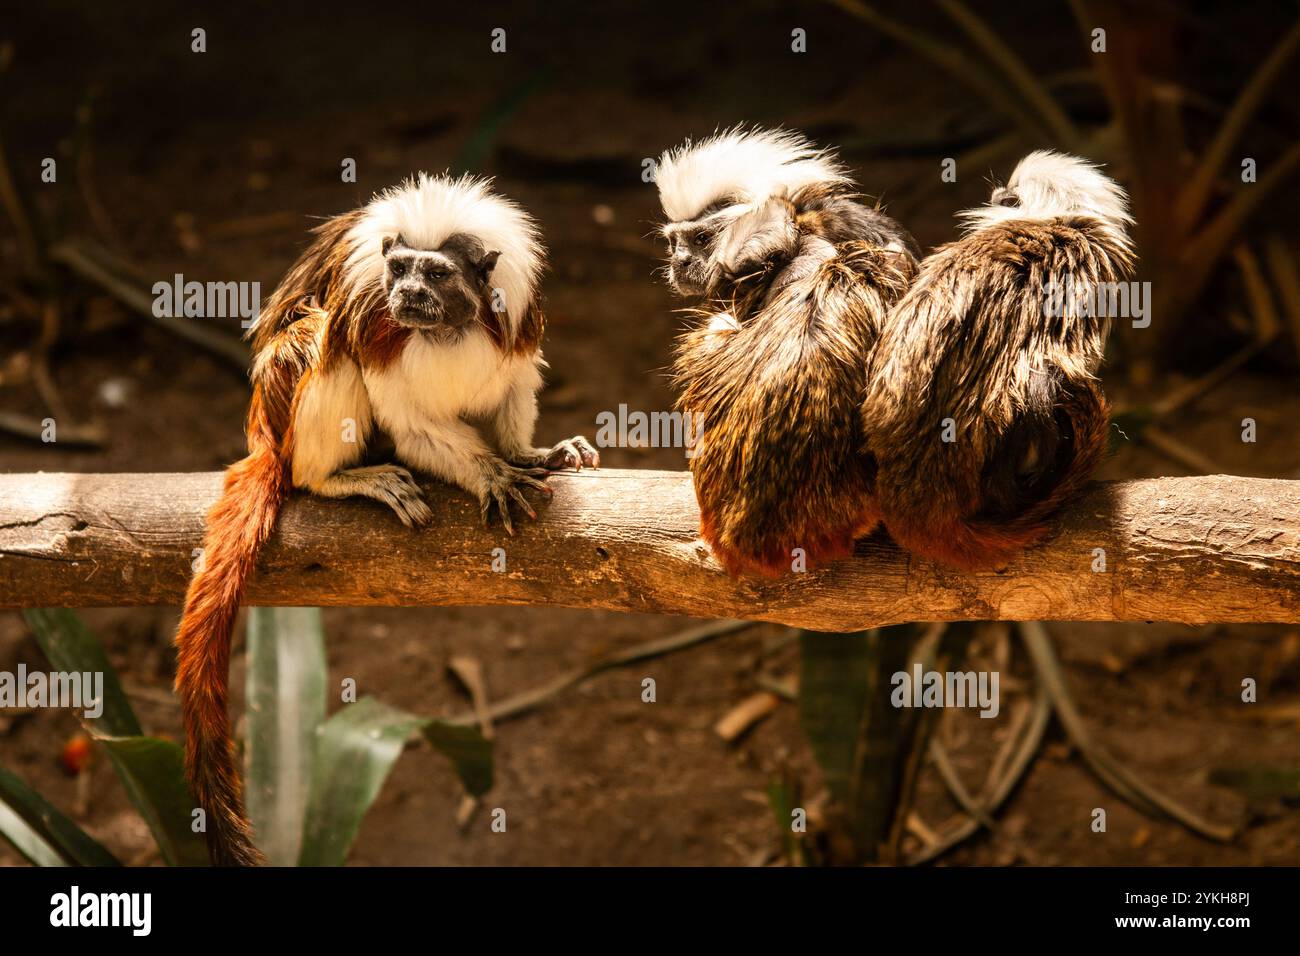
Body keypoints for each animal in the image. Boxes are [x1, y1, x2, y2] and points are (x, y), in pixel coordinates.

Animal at [173, 173, 598, 865]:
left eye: (436, 273)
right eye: (398, 270)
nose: (408, 294)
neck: (449, 330)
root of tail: (263, 426)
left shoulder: (513, 326)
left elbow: (512, 390)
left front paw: (526, 453)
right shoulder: (375, 323)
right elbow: (411, 423)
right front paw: (490, 472)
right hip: (289, 410)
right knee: (318, 341)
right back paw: (340, 476)